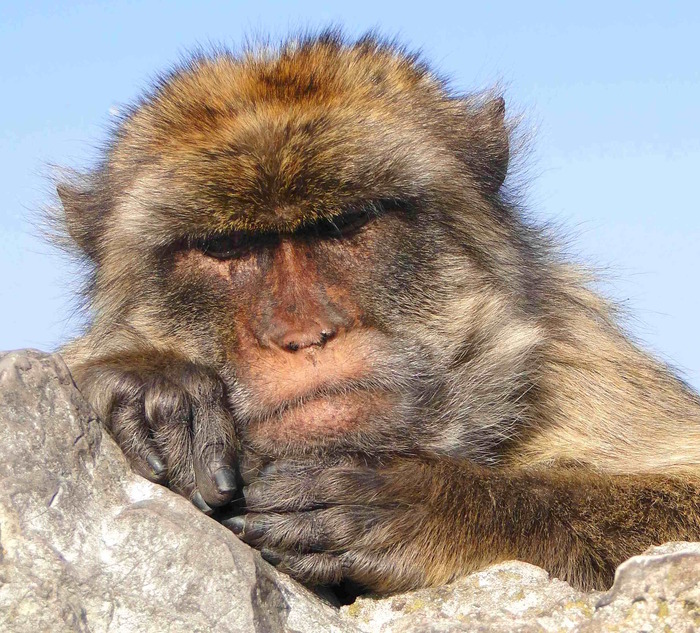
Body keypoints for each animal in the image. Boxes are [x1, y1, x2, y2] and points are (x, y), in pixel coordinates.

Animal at [52, 31, 700, 595]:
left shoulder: (580, 363)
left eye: (343, 223)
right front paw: (144, 382)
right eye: (228, 246)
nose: (302, 333)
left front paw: (428, 505)